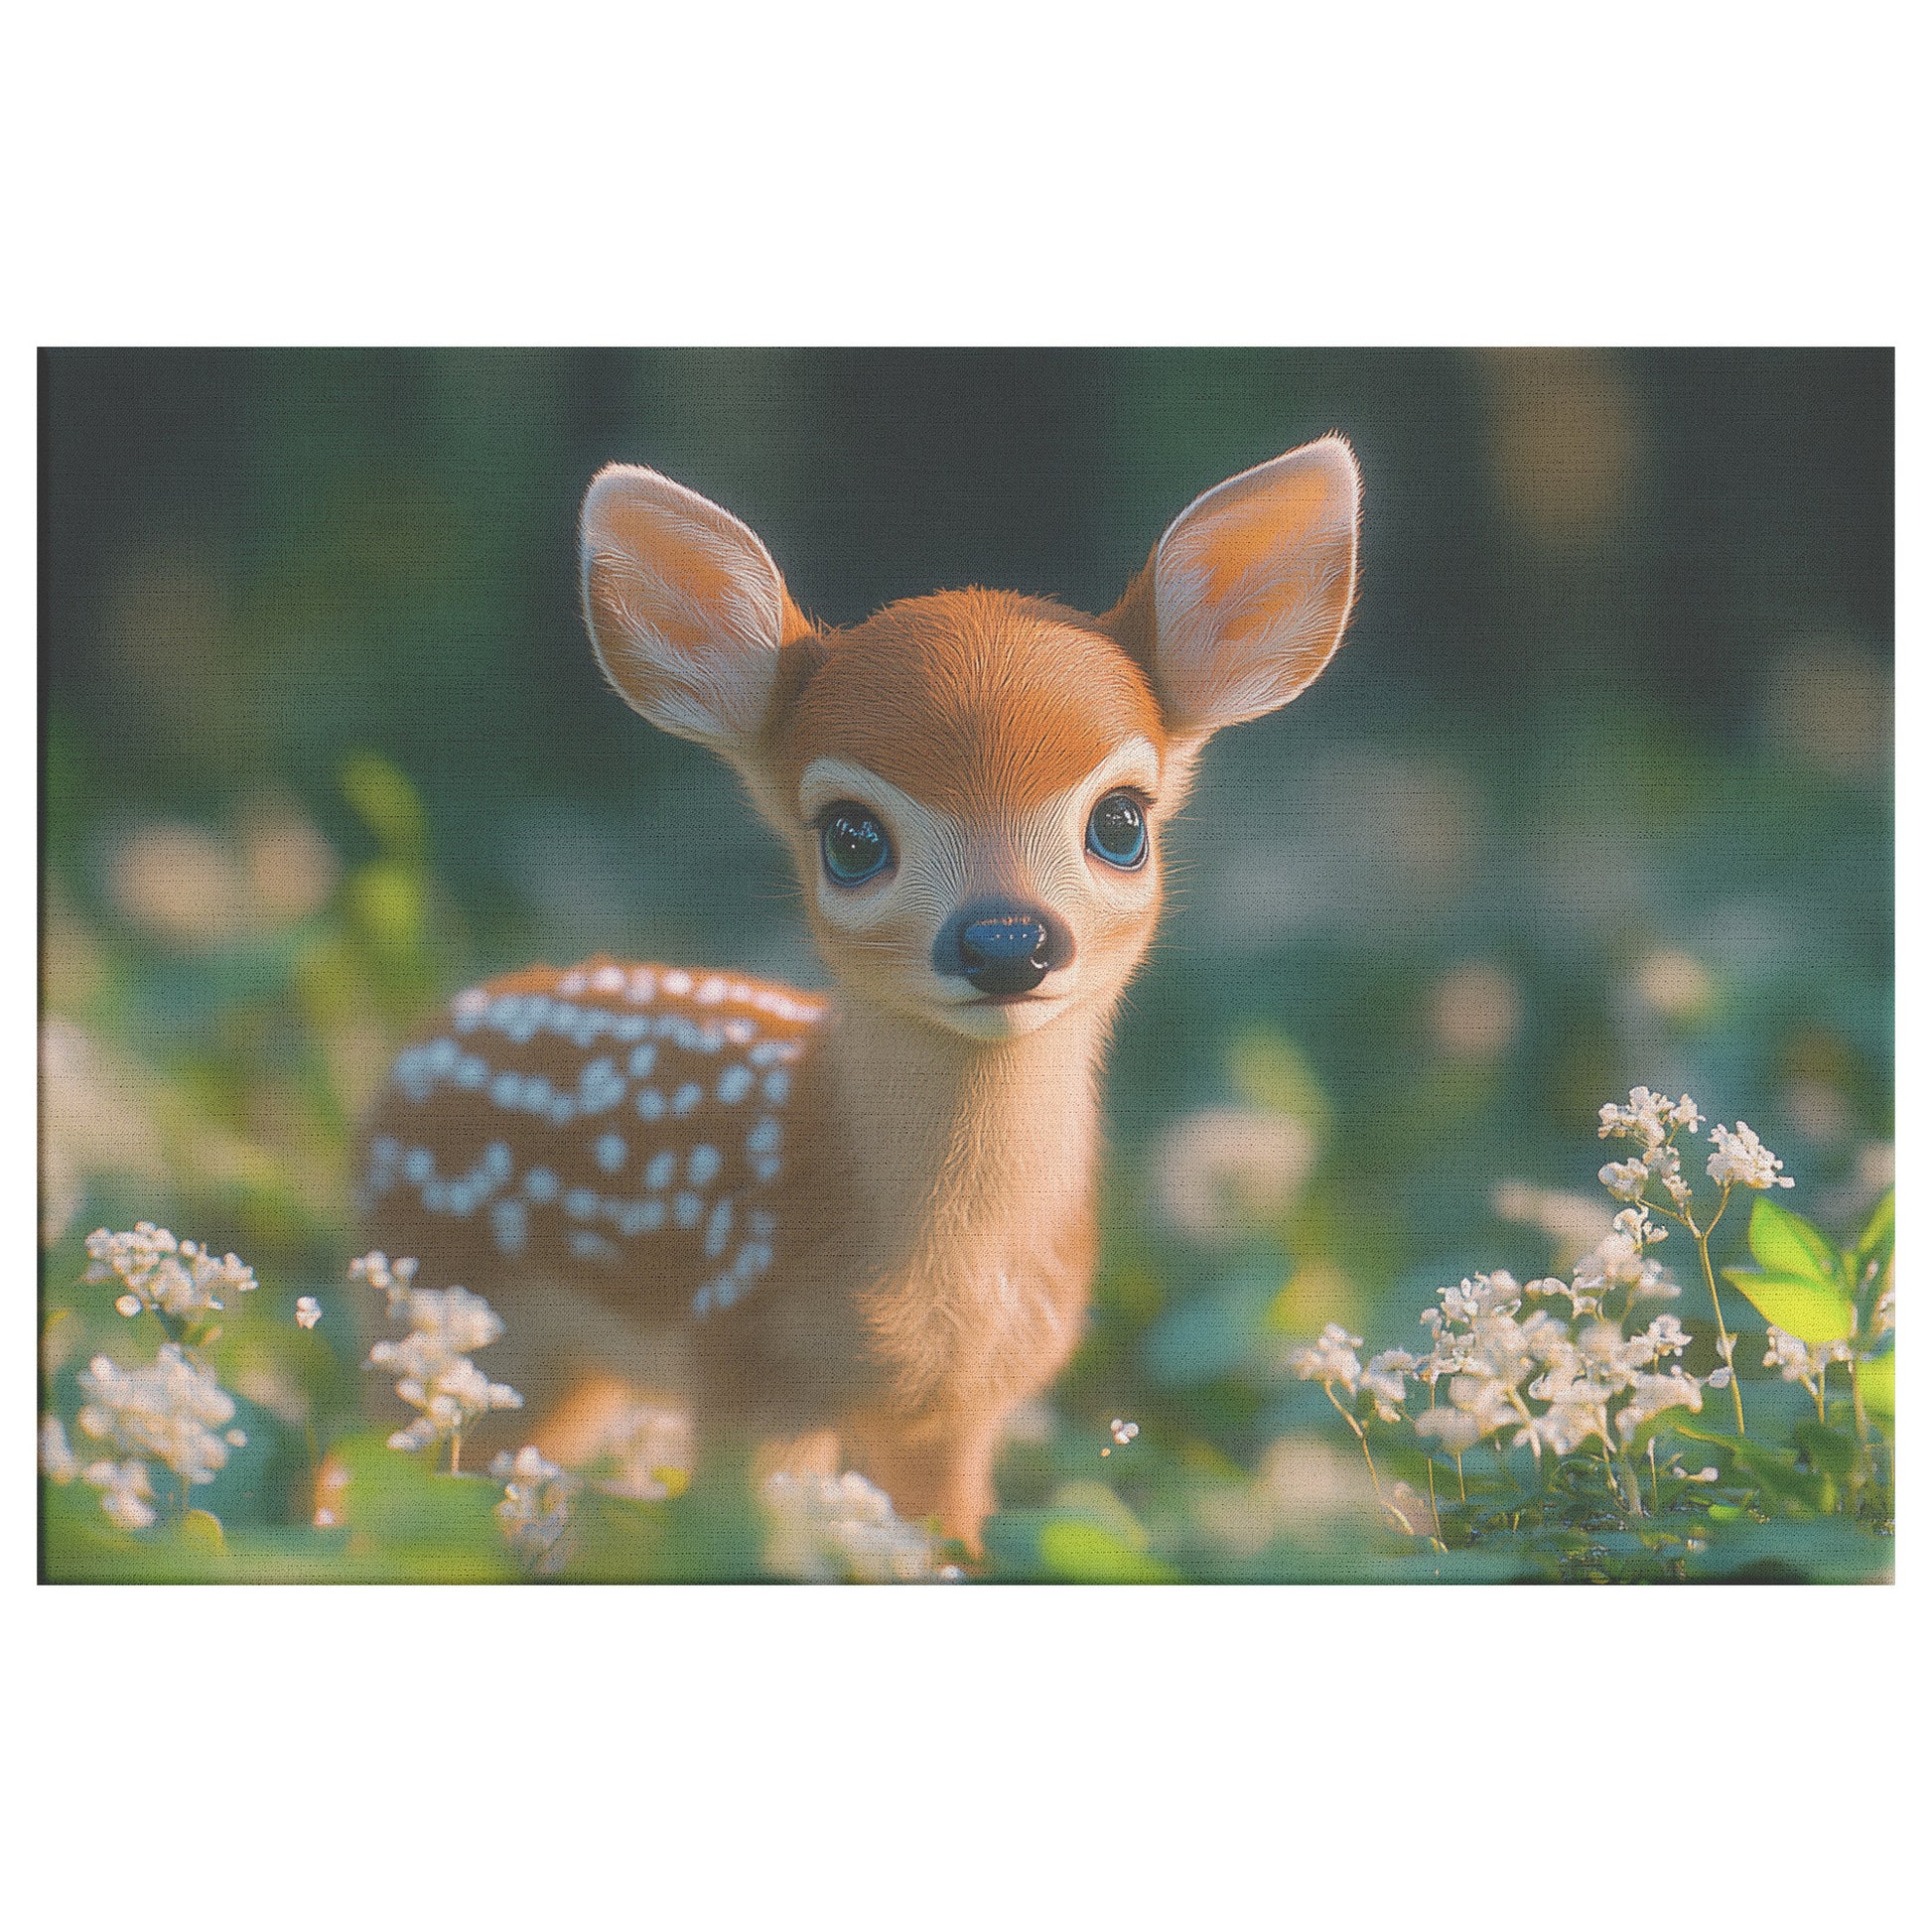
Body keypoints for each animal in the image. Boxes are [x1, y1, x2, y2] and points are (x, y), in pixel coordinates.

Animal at [355, 434, 1361, 1553]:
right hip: (436, 1297)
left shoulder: (963, 1409)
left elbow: (951, 1540)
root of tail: (421, 1041)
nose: (1006, 942)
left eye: (1120, 820)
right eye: (850, 836)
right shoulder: (745, 1353)